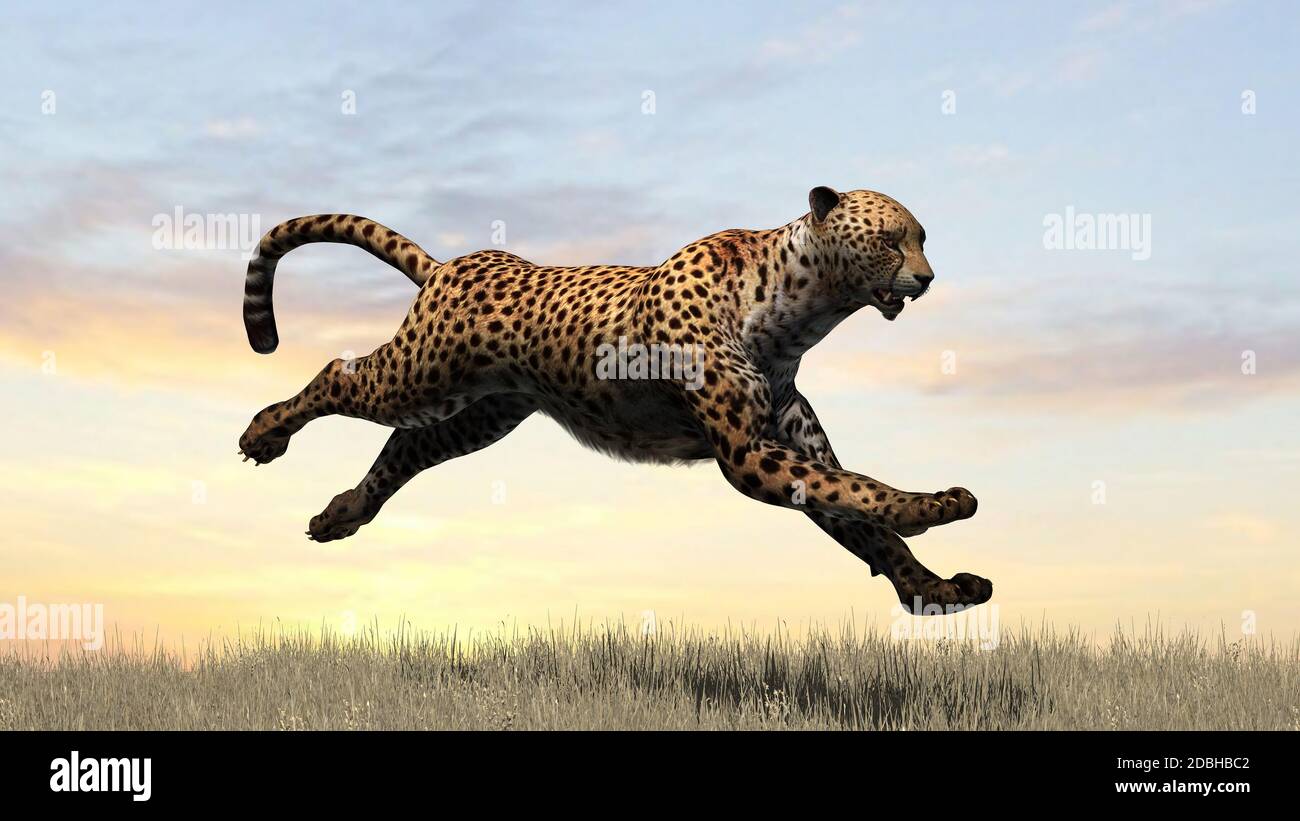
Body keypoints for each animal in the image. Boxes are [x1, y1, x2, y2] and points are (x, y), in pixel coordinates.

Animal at [238, 186, 990, 613]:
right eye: (892, 239)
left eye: (922, 239)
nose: (927, 277)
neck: (803, 307)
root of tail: (452, 263)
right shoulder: (749, 457)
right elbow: (863, 491)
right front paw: (939, 506)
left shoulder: (789, 449)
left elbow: (859, 518)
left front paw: (935, 590)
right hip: (418, 373)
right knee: (338, 373)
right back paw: (262, 434)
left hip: (473, 416)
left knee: (404, 448)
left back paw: (339, 514)